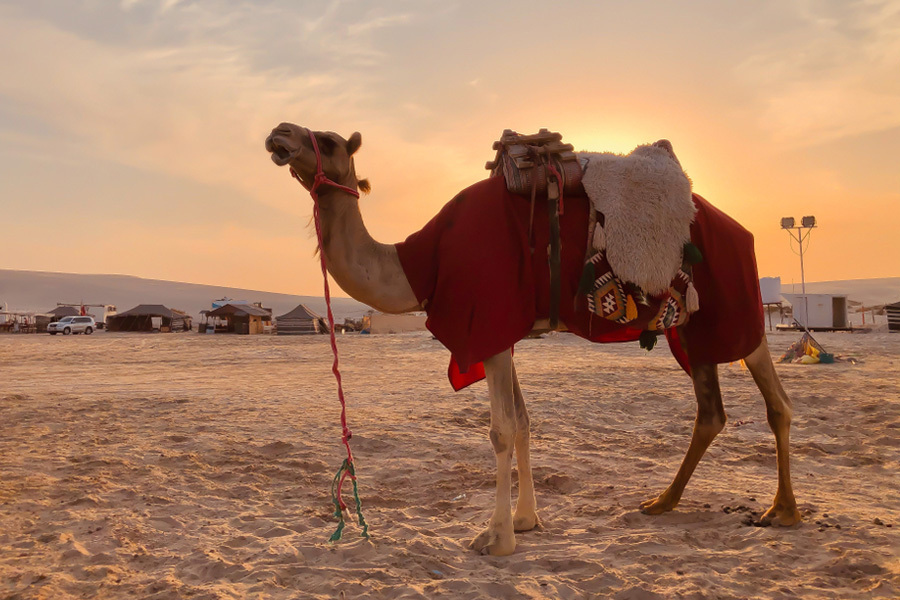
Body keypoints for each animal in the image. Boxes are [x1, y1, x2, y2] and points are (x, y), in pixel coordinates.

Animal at [265, 122, 801, 556]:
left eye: (328, 141)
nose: (278, 133)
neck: (419, 264)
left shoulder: (486, 326)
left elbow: (501, 430)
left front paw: (497, 538)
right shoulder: (505, 333)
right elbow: (522, 422)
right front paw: (525, 521)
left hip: (736, 306)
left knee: (776, 400)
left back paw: (783, 510)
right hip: (691, 327)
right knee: (711, 411)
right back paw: (662, 502)